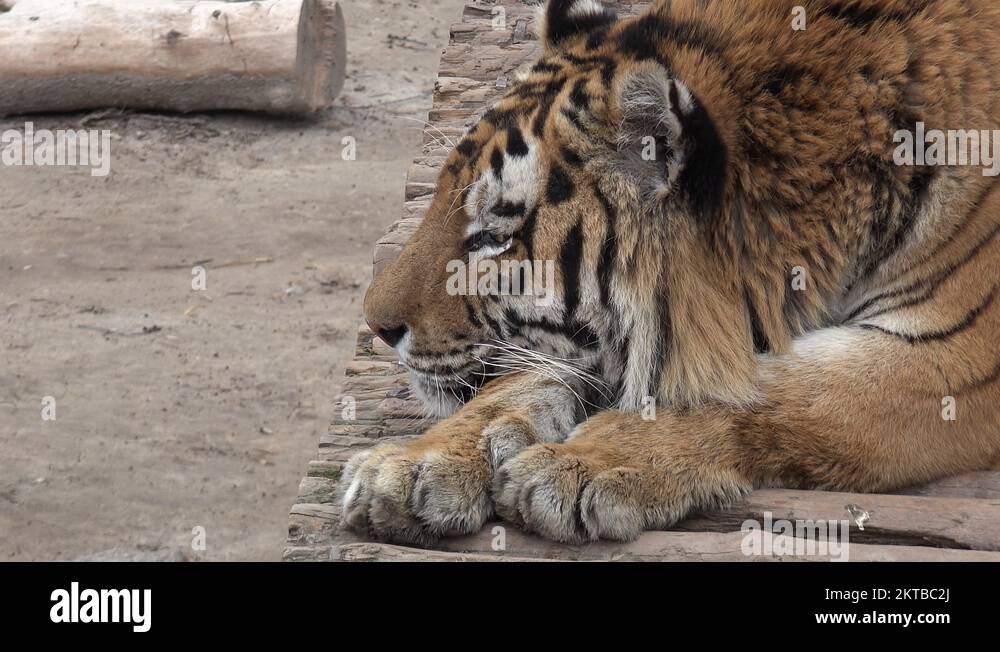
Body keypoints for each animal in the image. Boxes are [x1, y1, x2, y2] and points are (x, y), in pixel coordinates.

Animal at [338, 0, 1000, 546]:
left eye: (495, 236)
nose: (377, 328)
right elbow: (526, 377)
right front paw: (416, 465)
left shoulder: (958, 356)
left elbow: (768, 392)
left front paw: (580, 465)